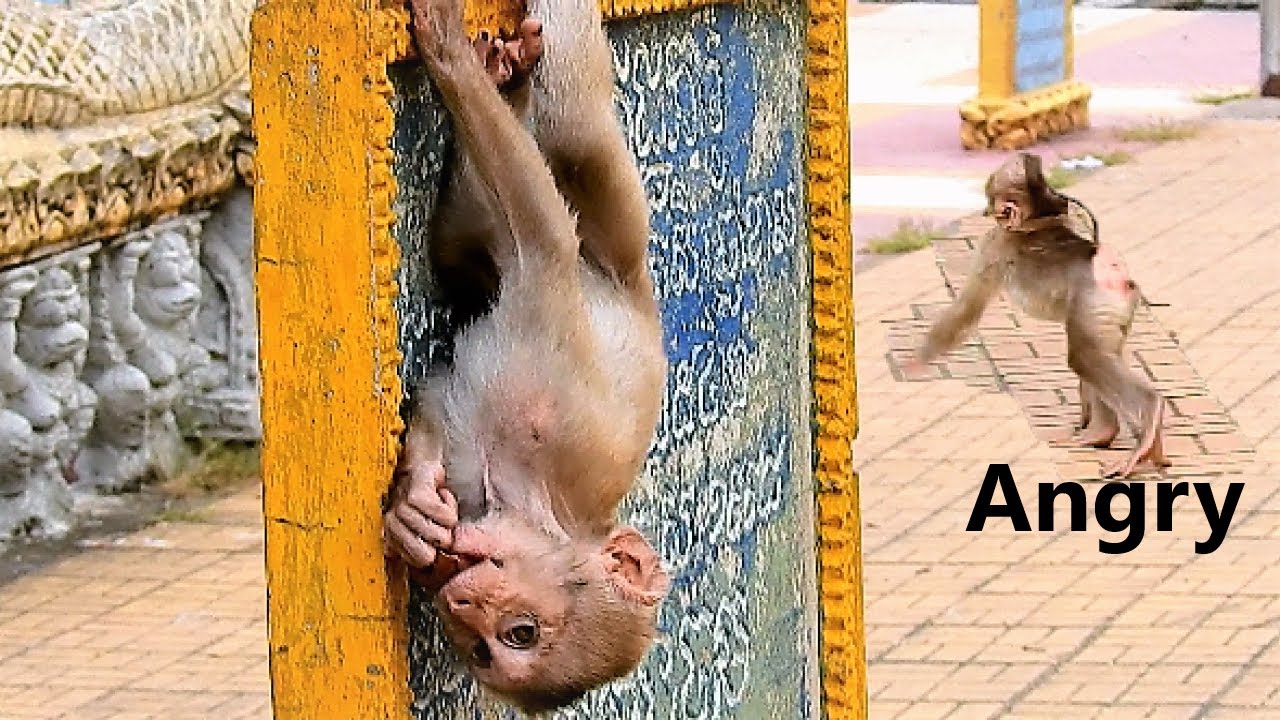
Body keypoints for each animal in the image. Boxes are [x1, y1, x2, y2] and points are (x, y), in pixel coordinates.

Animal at [382, 0, 671, 711]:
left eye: (504, 642)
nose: (462, 603)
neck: (524, 498)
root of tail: (636, 290)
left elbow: (440, 389)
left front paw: (412, 515)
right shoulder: (549, 392)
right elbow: (541, 235)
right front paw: (450, 51)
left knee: (476, 234)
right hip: (618, 231)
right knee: (574, 134)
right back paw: (503, 75)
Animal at [912, 153, 1169, 479]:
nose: (986, 210)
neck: (1039, 219)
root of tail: (1115, 273)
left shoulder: (991, 246)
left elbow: (967, 310)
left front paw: (917, 360)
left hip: (1096, 303)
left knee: (1085, 356)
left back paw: (1146, 417)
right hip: (1114, 311)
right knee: (1100, 353)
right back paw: (1102, 433)